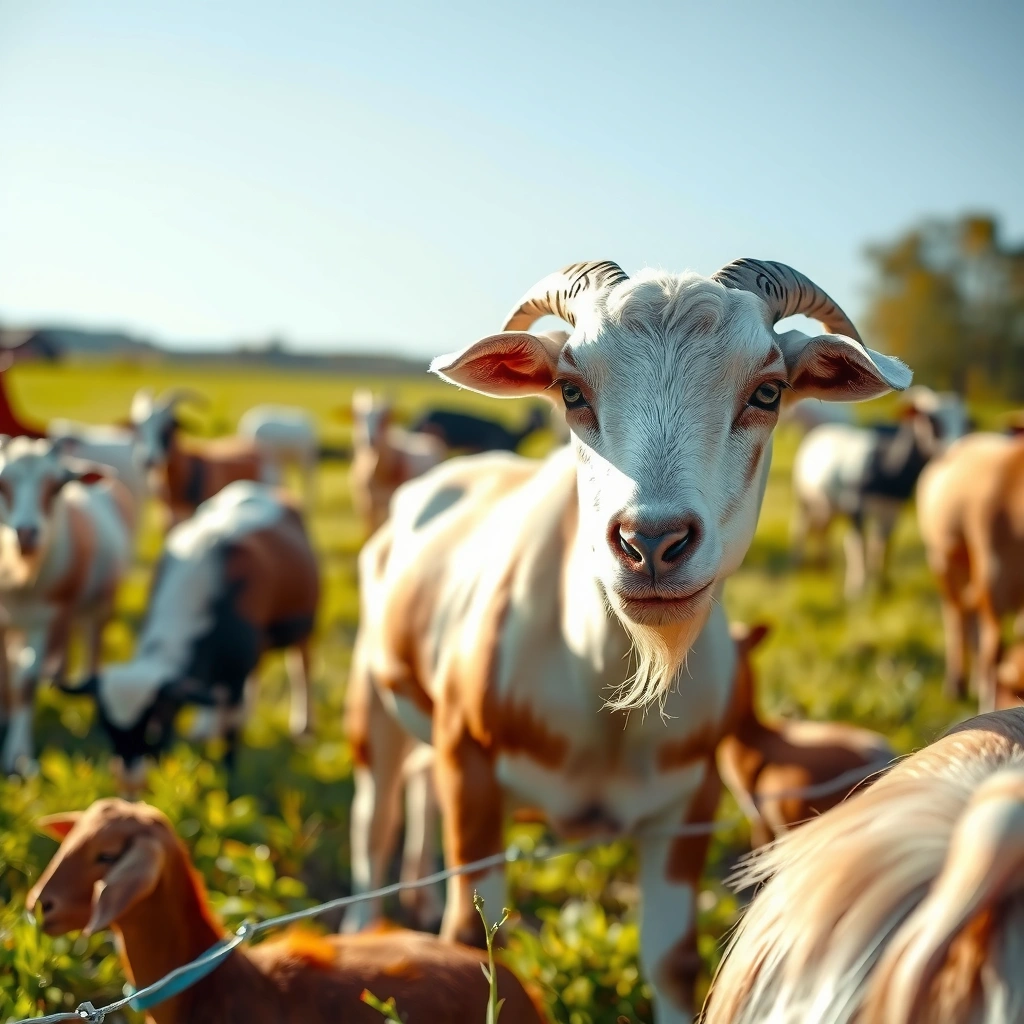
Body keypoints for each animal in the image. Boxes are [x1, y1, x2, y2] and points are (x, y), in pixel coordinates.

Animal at [0, 437, 135, 774]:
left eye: (56, 486)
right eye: (2, 484)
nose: (26, 533)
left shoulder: (50, 616)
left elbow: (26, 681)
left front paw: (18, 758)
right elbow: (7, 673)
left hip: (97, 605)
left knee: (91, 646)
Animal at [62, 481, 318, 792]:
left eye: (155, 725)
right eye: (107, 728)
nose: (130, 784)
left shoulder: (235, 673)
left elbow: (230, 730)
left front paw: (229, 777)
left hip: (304, 626)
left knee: (301, 668)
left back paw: (303, 725)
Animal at [791, 385, 967, 596]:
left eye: (967, 422)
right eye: (932, 420)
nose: (958, 449)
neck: (886, 466)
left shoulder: (892, 509)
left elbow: (883, 543)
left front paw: (883, 584)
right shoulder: (856, 505)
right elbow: (857, 545)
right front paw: (857, 589)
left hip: (827, 503)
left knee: (822, 527)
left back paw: (823, 565)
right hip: (803, 496)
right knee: (802, 526)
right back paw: (798, 561)